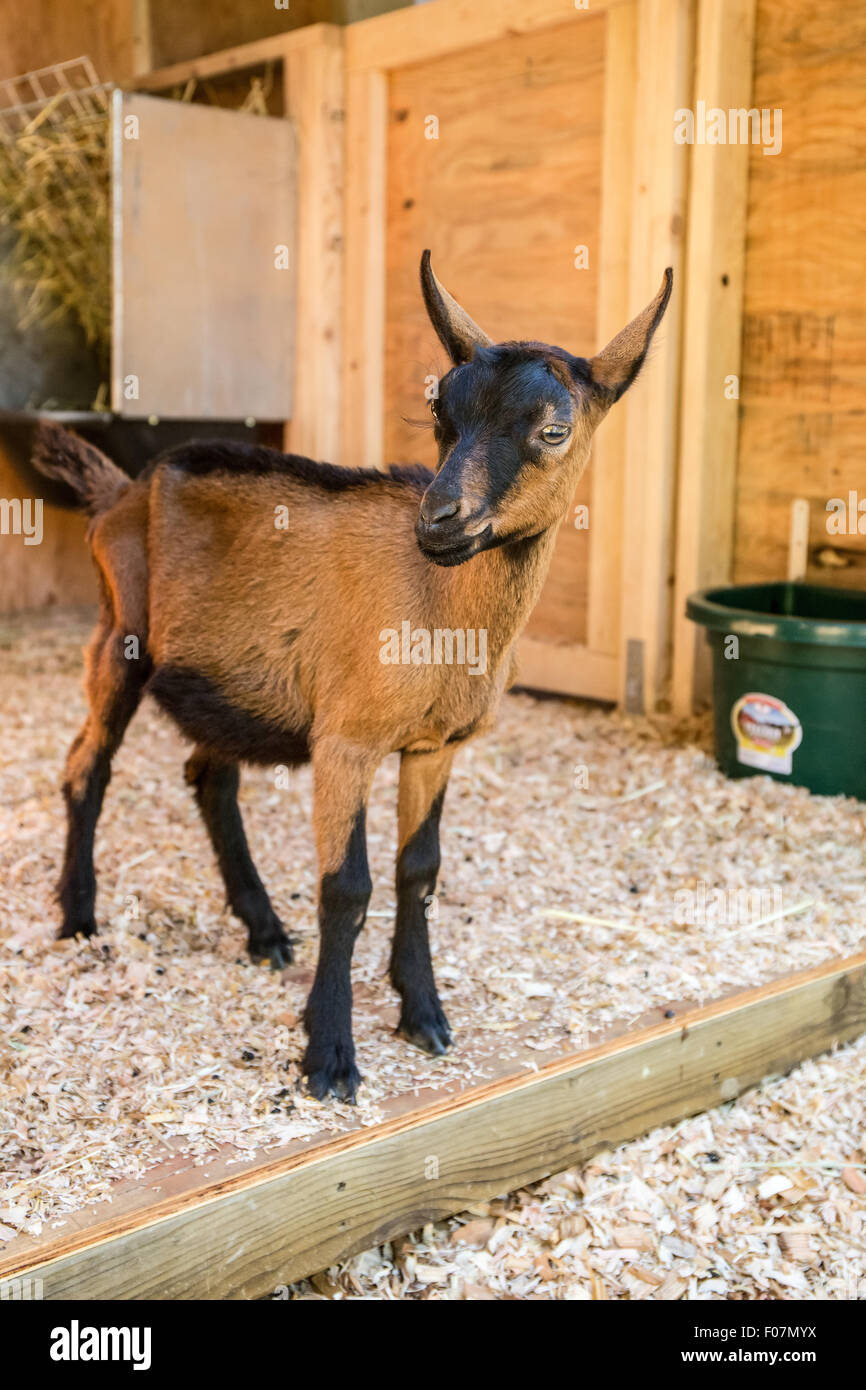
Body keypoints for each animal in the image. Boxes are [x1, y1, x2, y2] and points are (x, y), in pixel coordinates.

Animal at [31, 252, 672, 1100]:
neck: (438, 610)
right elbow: (347, 888)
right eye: (441, 418)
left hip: (231, 682)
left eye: (553, 430)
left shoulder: (436, 746)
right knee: (87, 766)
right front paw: (330, 1055)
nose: (439, 519)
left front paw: (424, 1014)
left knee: (208, 777)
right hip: (118, 638)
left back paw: (264, 929)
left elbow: (418, 871)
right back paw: (79, 918)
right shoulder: (345, 742)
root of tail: (120, 491)